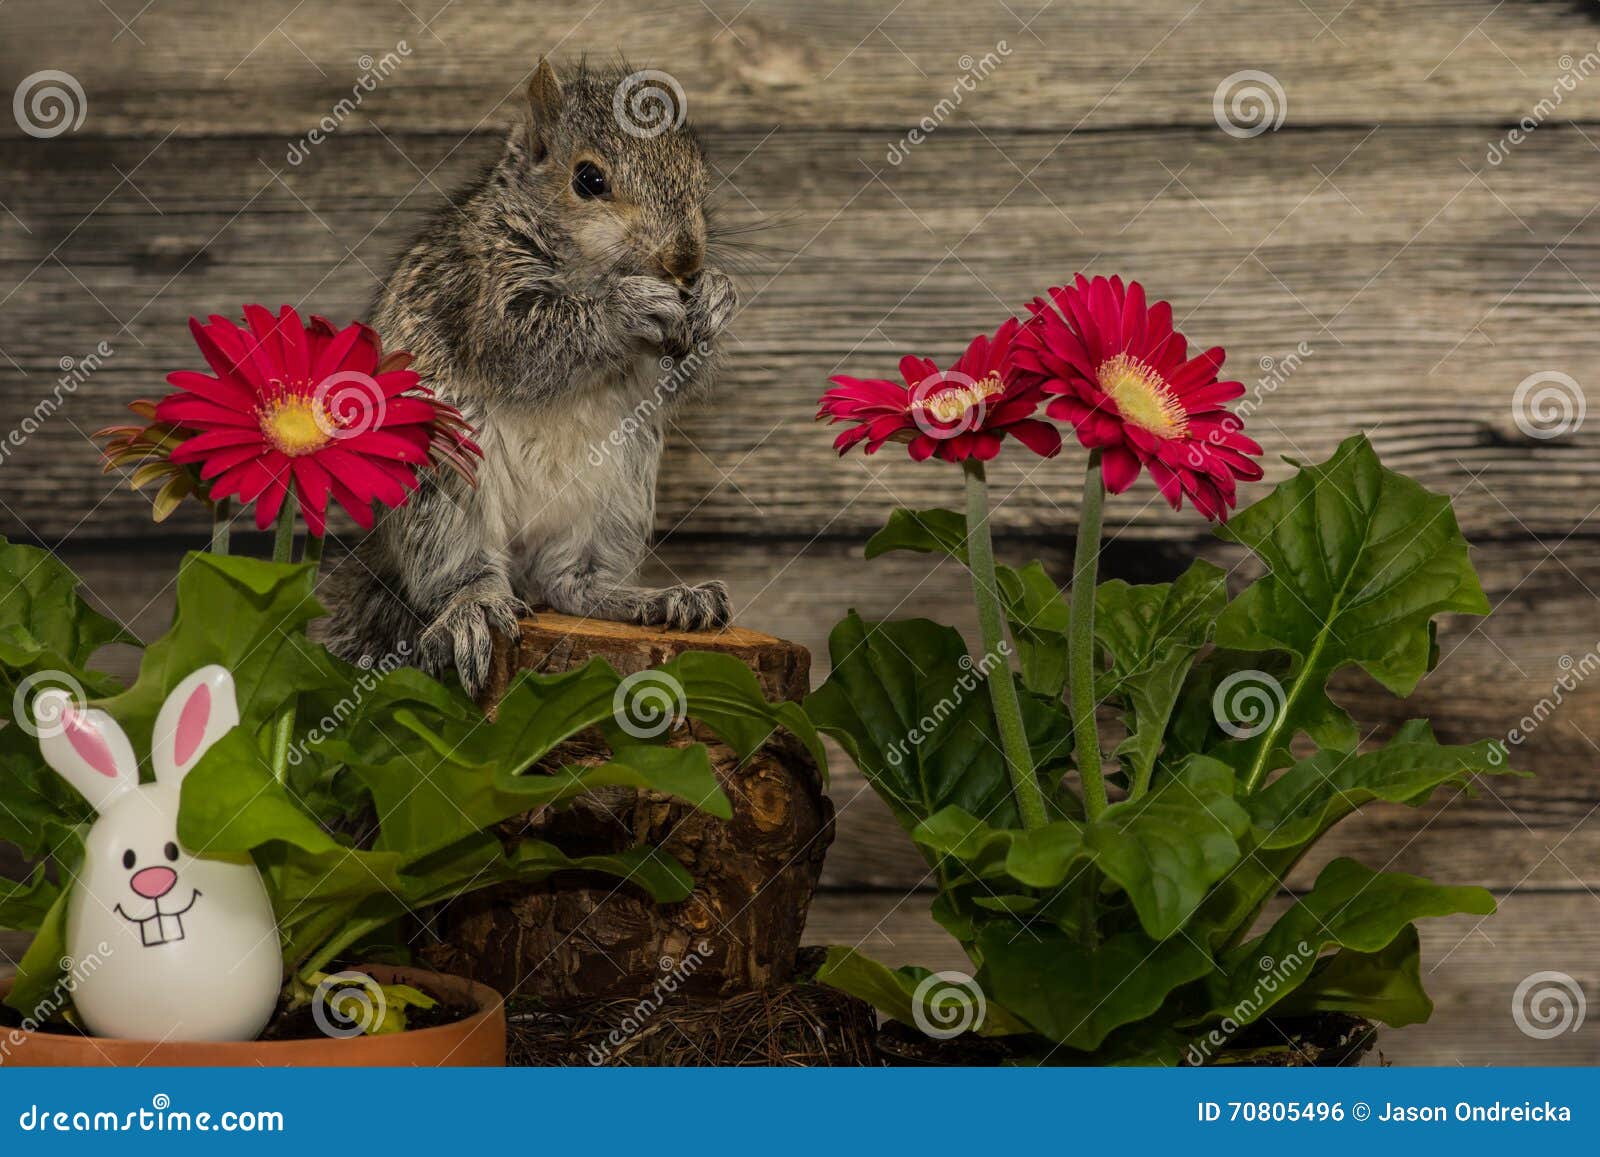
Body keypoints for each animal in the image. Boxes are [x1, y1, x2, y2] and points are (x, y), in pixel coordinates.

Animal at [322, 59, 737, 696]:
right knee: (461, 574)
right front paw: (627, 307)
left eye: (698, 174)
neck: (582, 267)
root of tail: (519, 560)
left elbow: (672, 376)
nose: (685, 259)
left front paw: (715, 296)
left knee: (569, 585)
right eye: (589, 179)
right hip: (443, 480)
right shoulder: (481, 284)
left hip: (620, 490)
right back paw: (473, 608)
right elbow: (522, 343)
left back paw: (656, 599)